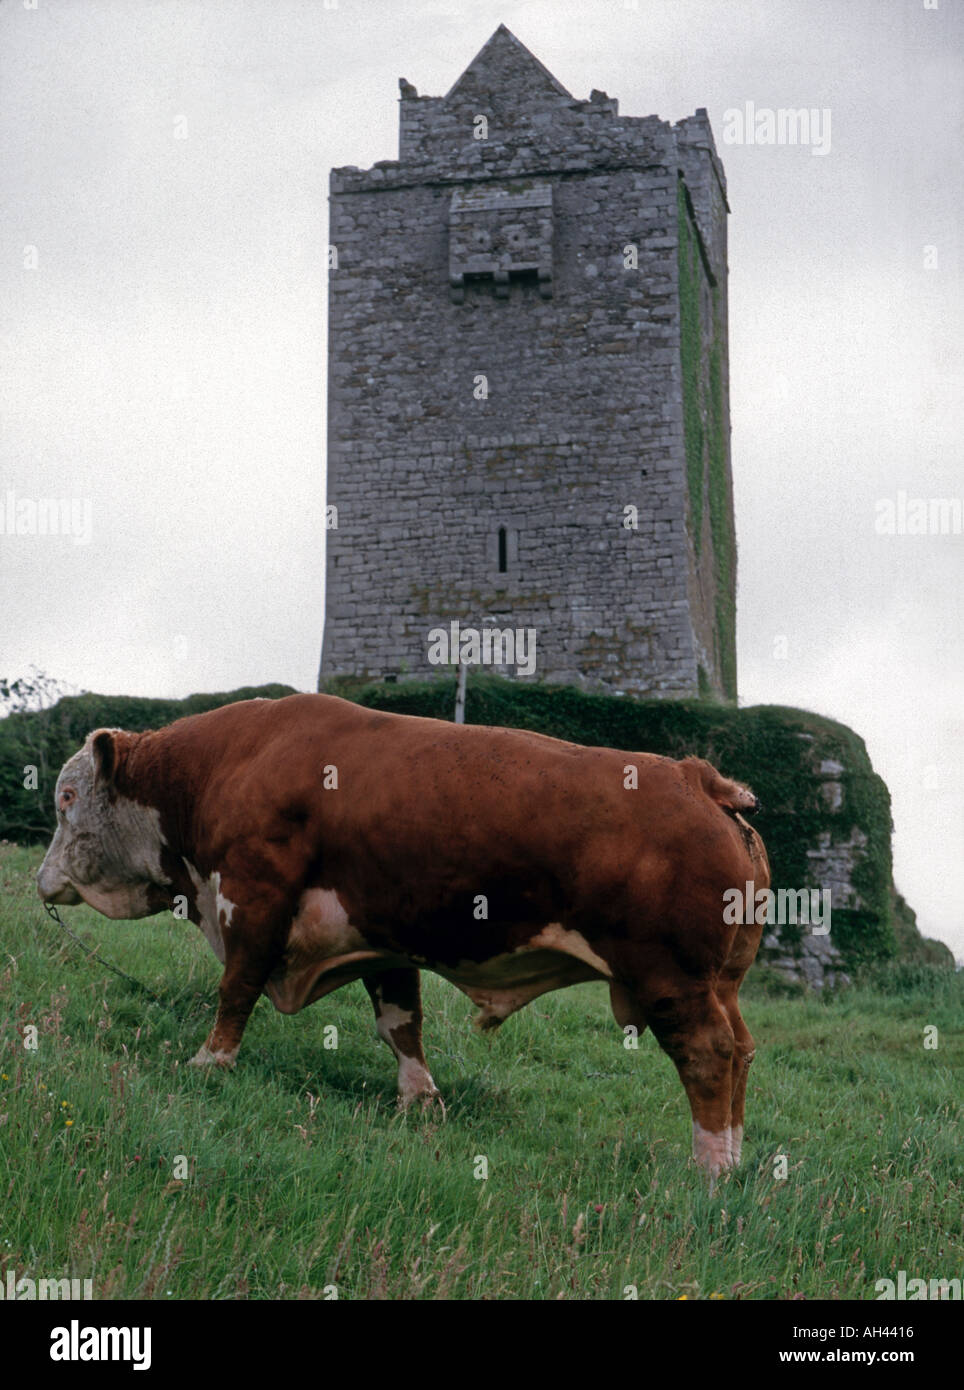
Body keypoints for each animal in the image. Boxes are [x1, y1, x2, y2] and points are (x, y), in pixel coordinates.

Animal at [37, 692, 769, 1178]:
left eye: (67, 798)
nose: (43, 880)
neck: (232, 760)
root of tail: (697, 776)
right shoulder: (376, 934)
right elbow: (400, 1021)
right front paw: (420, 1100)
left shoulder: (253, 897)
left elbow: (236, 988)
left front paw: (210, 1061)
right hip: (724, 983)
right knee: (742, 1049)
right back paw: (734, 1159)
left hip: (672, 978)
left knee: (709, 1053)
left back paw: (711, 1169)